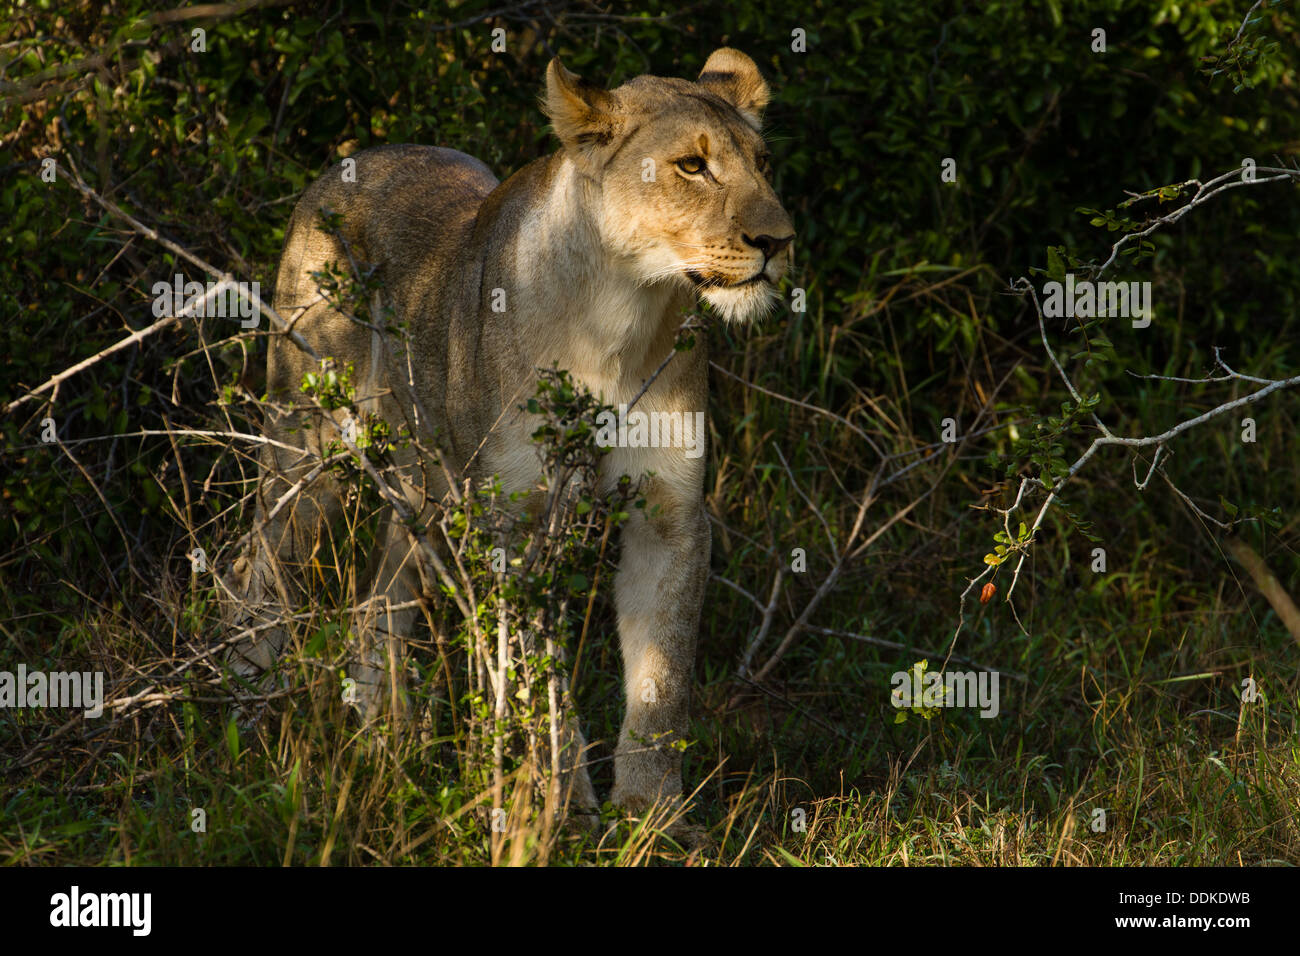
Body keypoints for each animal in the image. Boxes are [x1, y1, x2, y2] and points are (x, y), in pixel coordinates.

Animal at [220, 48, 794, 822]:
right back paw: (245, 708)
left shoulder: (671, 512)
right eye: (691, 166)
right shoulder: (517, 522)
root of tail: (355, 158)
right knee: (257, 561)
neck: (622, 318)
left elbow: (661, 676)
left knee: (381, 597)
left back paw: (390, 745)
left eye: (762, 163)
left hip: (429, 485)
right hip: (309, 436)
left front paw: (652, 814)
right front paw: (564, 806)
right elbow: (537, 676)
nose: (777, 242)